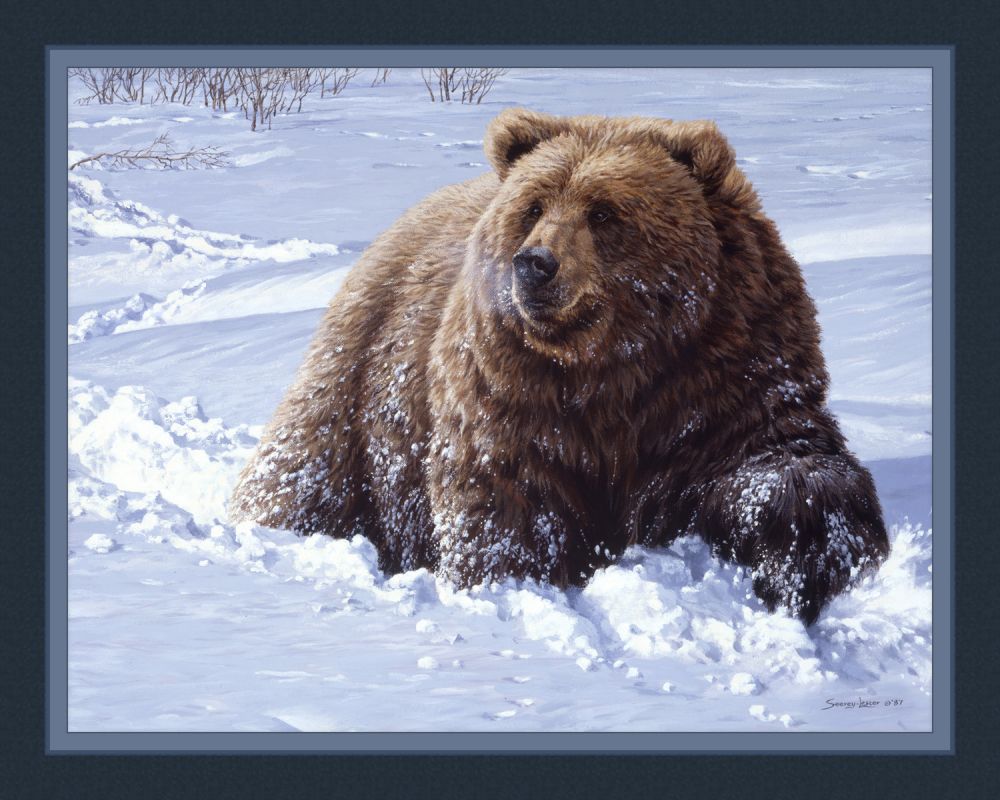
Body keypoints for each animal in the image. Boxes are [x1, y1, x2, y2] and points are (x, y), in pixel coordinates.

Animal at [230, 108, 889, 625]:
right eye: (534, 205)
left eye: (604, 212)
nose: (535, 265)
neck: (612, 361)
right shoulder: (512, 394)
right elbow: (505, 498)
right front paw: (516, 583)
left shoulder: (722, 371)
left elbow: (782, 458)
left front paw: (802, 558)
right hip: (361, 384)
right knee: (307, 468)